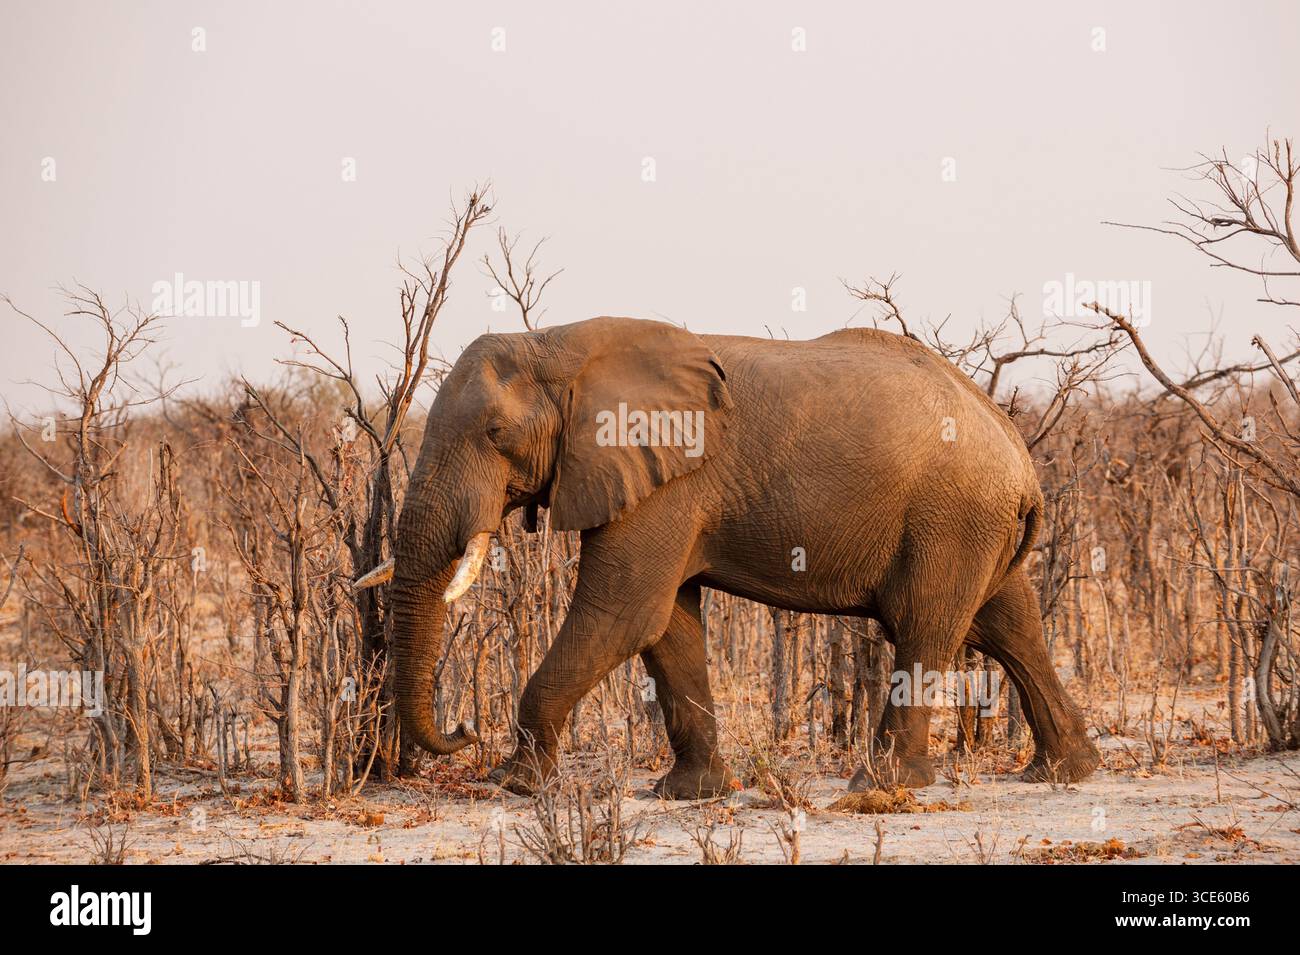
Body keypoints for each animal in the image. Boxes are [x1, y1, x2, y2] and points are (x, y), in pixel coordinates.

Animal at [364, 315, 1101, 798]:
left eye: (495, 433)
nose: (464, 730)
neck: (558, 342)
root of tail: (1021, 457)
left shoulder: (667, 480)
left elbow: (622, 613)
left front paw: (511, 785)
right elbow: (666, 625)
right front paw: (691, 794)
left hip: (951, 517)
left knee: (926, 624)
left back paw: (880, 786)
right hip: (975, 522)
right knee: (1008, 622)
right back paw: (1063, 771)